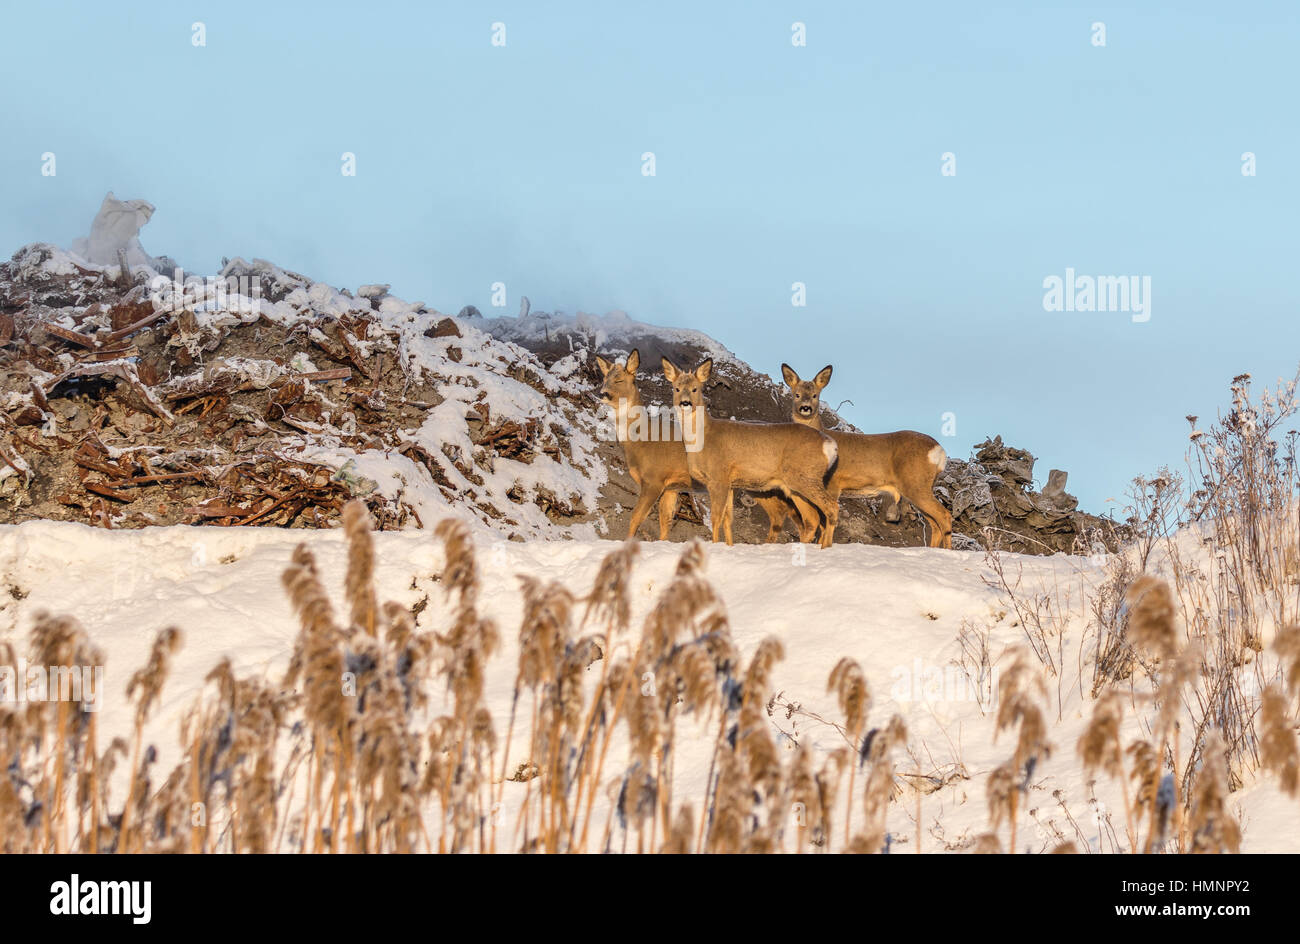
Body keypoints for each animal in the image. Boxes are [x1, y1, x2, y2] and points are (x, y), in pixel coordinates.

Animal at [662, 356, 841, 548]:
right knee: (812, 518)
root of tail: (830, 445)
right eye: (676, 388)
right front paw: (729, 546)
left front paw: (714, 545)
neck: (703, 438)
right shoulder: (731, 483)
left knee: (831, 507)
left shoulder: (719, 476)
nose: (685, 403)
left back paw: (825, 547)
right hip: (795, 485)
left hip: (806, 477)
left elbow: (716, 518)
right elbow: (728, 520)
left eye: (695, 388)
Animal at [762, 364, 953, 548]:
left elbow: (825, 519)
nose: (805, 408)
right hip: (920, 486)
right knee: (934, 523)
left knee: (944, 515)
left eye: (815, 395)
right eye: (797, 394)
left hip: (916, 483)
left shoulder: (833, 483)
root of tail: (939, 450)